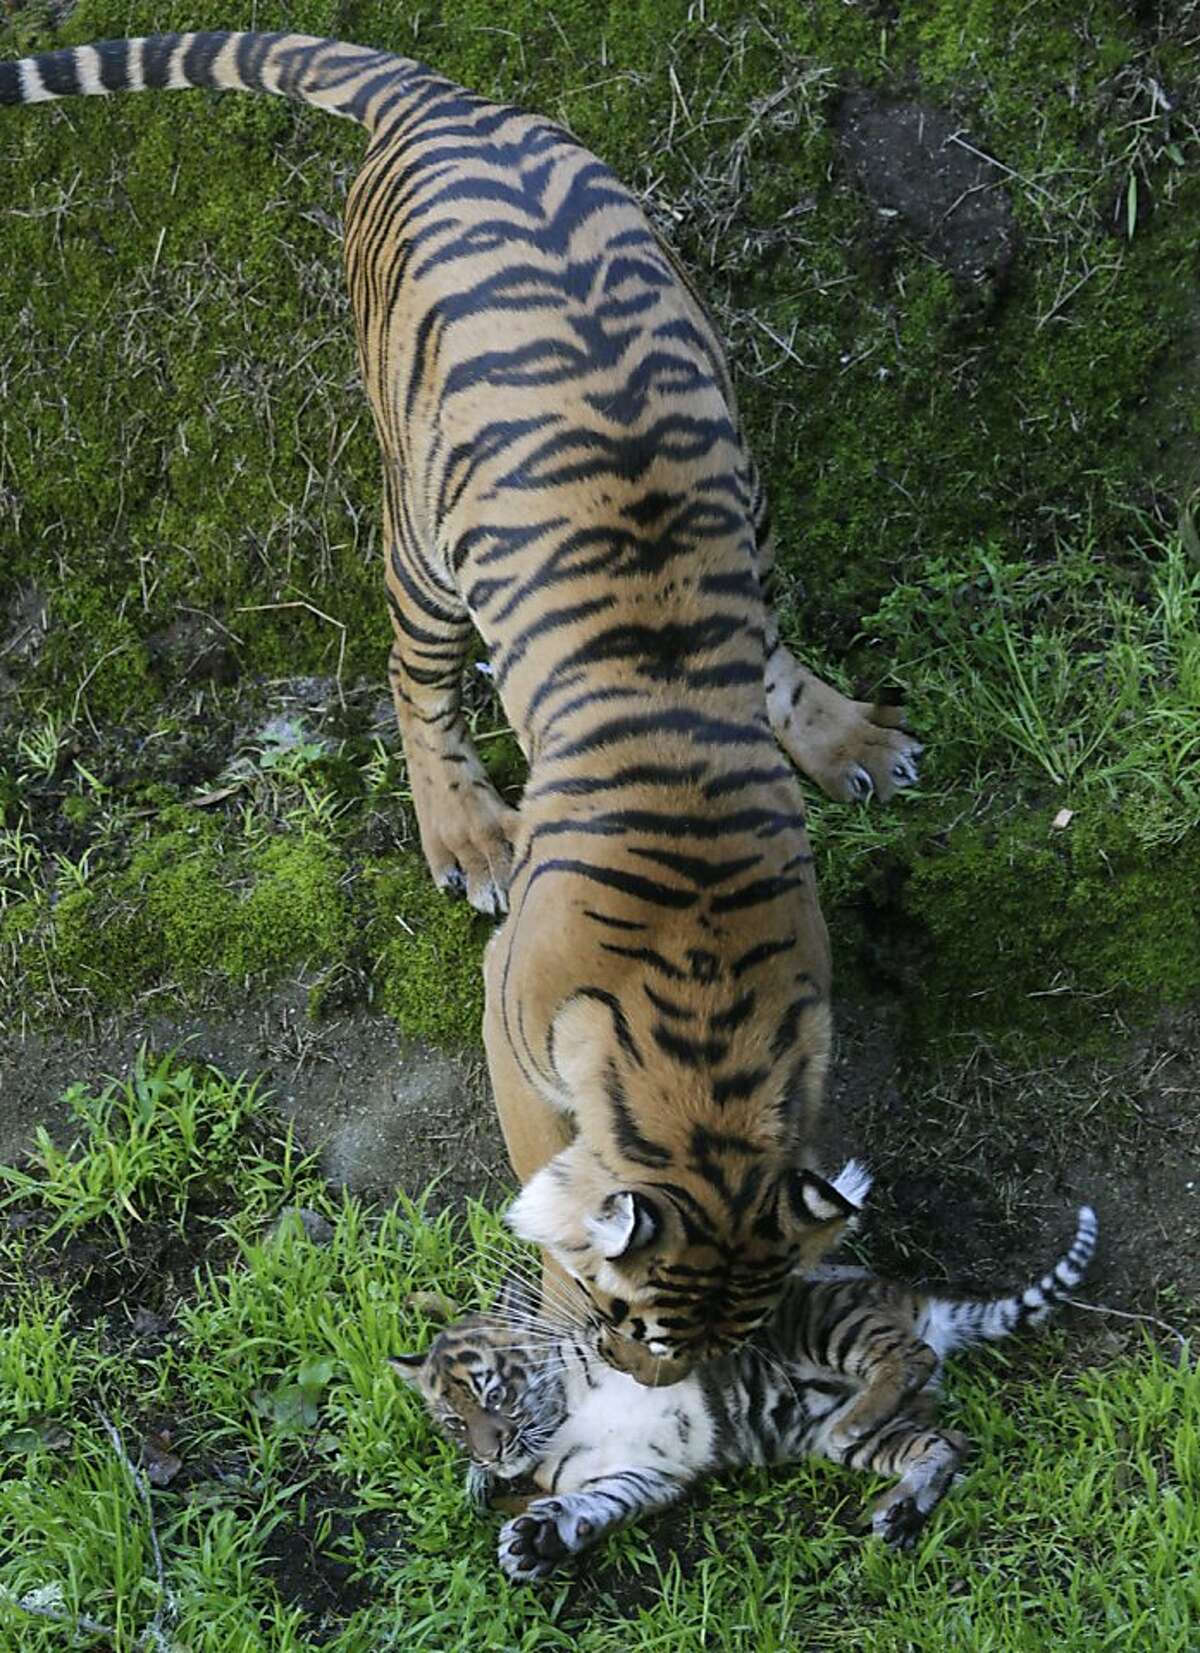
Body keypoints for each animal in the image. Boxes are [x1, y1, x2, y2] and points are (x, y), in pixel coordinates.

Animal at [2, 32, 923, 1382]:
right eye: (631, 1322)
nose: (655, 1391)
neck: (706, 1003)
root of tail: (443, 98)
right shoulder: (508, 1015)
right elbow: (547, 1170)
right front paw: (553, 1287)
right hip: (424, 525)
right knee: (412, 680)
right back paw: (468, 832)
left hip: (726, 472)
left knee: (754, 639)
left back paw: (849, 740)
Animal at [393, 1180, 1098, 1581]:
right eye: (453, 1422)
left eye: (493, 1394)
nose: (490, 1453)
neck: (561, 1421)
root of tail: (914, 1300)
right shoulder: (635, 1474)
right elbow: (590, 1507)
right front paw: (533, 1542)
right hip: (869, 1428)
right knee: (947, 1441)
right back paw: (898, 1511)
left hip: (817, 1323)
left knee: (911, 1357)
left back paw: (861, 1426)